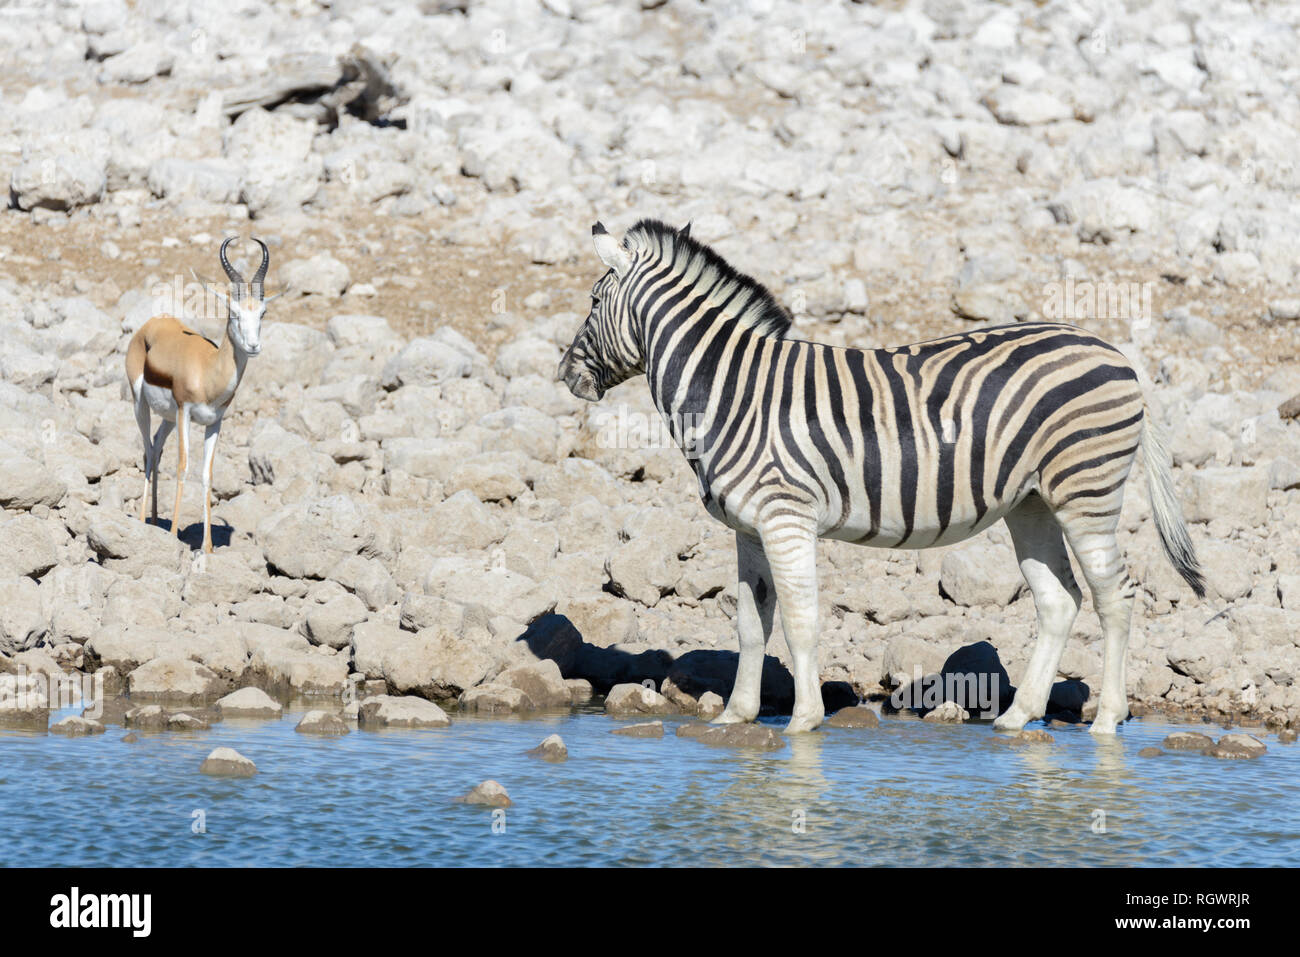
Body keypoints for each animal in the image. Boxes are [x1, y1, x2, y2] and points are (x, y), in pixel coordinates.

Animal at [558, 219, 1205, 735]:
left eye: (592, 300)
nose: (564, 374)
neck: (729, 391)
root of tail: (1116, 354)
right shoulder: (748, 527)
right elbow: (750, 621)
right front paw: (736, 715)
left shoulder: (785, 517)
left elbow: (798, 619)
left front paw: (802, 721)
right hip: (1032, 503)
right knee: (1060, 600)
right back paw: (1018, 717)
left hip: (1084, 492)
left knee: (1115, 597)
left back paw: (1106, 723)